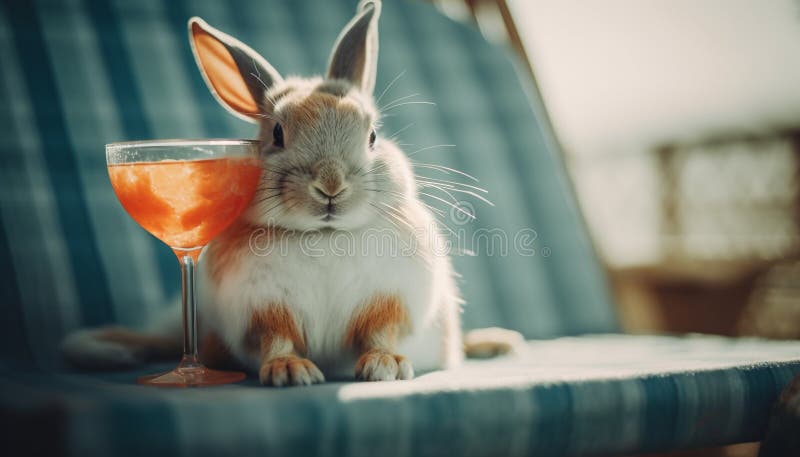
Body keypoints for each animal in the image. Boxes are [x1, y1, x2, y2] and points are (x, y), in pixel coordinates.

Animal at [62, 0, 522, 386]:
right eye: (278, 135)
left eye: (373, 135)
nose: (331, 185)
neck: (324, 236)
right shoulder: (262, 311)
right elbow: (276, 339)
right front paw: (289, 371)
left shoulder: (387, 303)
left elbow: (379, 334)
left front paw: (386, 366)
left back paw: (496, 343)